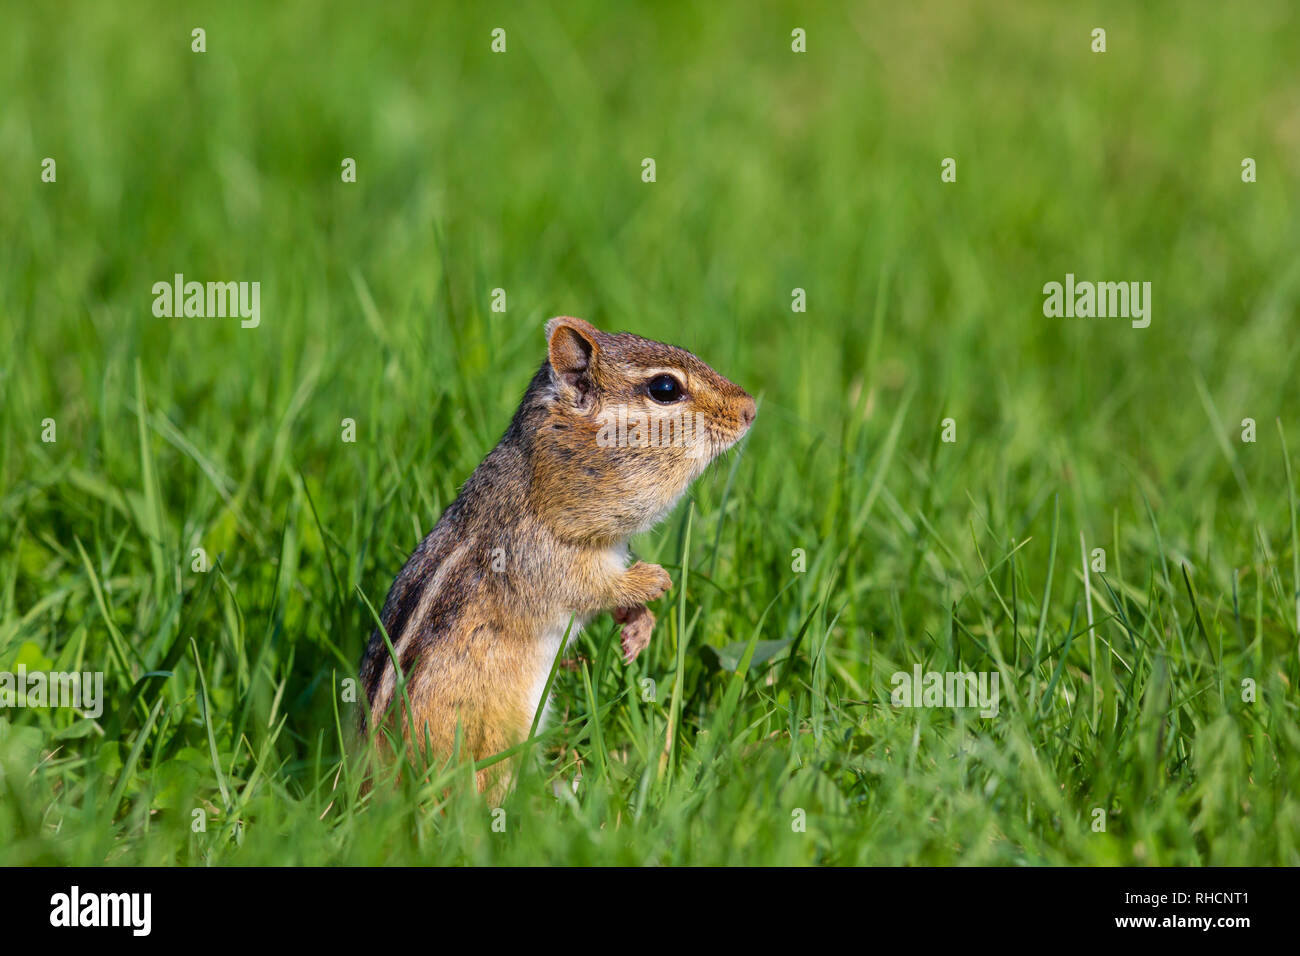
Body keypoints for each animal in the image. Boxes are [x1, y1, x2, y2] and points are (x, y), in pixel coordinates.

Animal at [357, 316, 756, 794]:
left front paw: (639, 629)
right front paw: (655, 580)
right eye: (664, 388)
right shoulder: (542, 556)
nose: (751, 409)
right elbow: (592, 588)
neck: (540, 484)